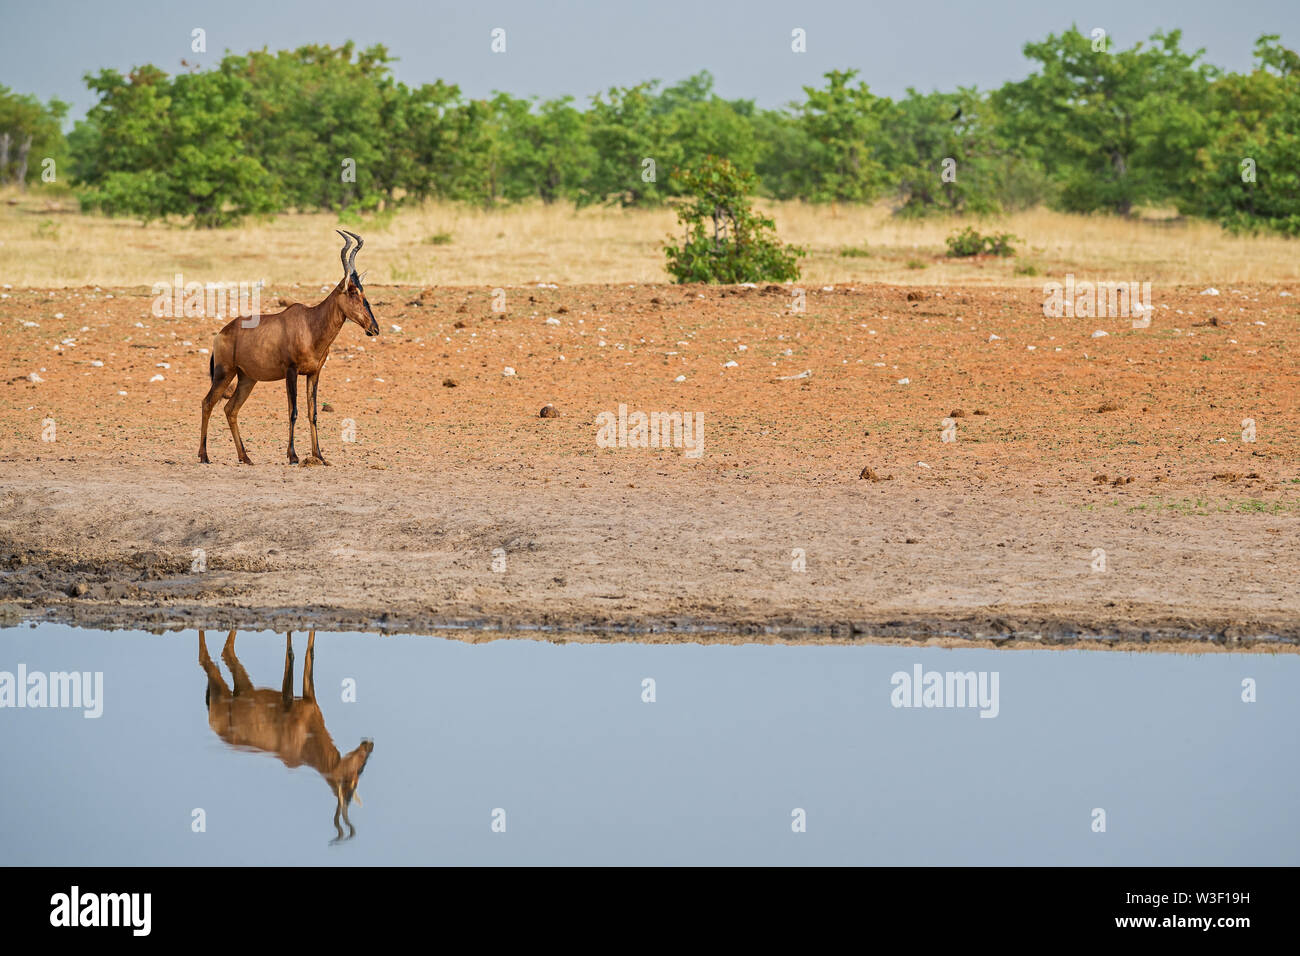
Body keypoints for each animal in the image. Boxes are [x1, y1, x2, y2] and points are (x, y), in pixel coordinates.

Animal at [198, 231, 380, 465]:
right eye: (352, 290)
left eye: (363, 290)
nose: (374, 329)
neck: (310, 323)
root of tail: (221, 333)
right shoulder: (291, 371)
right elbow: (292, 411)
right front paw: (293, 456)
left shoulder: (314, 373)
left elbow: (313, 412)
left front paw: (319, 456)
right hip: (224, 373)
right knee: (207, 403)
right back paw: (204, 456)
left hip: (247, 379)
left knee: (230, 409)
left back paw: (245, 457)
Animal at [199, 629, 374, 843]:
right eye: (353, 780)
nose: (369, 745)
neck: (305, 745)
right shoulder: (288, 702)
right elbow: (290, 653)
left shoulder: (309, 697)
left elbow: (309, 652)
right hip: (219, 690)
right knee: (205, 658)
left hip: (242, 687)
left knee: (227, 652)